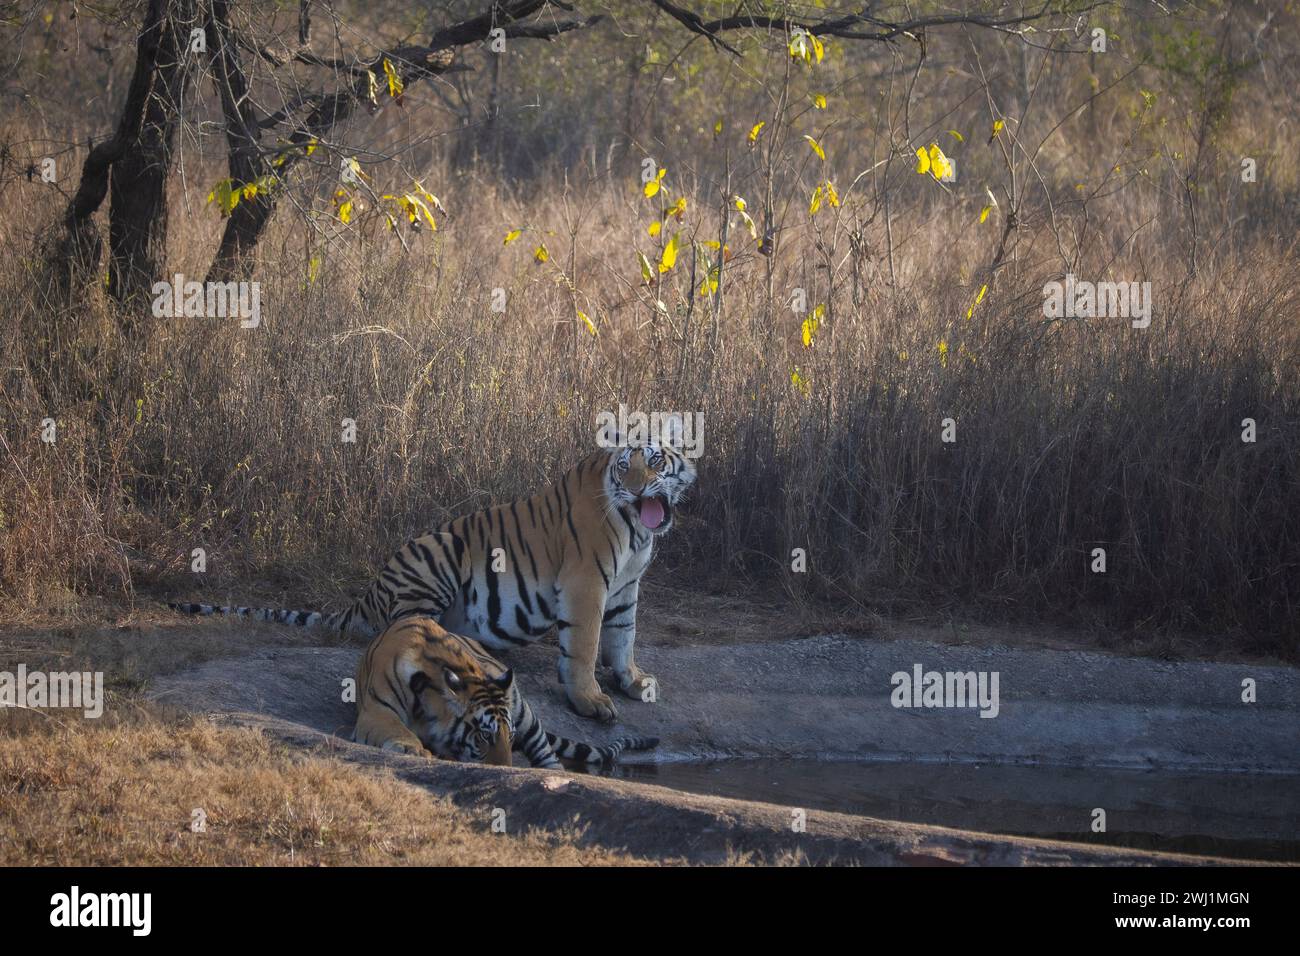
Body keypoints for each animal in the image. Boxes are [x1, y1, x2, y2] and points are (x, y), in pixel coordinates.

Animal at [172, 428, 697, 722]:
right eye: (624, 468)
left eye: (655, 461)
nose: (637, 491)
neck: (638, 531)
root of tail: (370, 591)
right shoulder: (586, 583)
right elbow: (586, 645)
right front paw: (590, 700)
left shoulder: (626, 586)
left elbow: (623, 635)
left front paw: (632, 680)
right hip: (438, 551)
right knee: (406, 629)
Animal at [354, 616, 658, 768]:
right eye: (483, 736)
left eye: (509, 737)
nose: (506, 769)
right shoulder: (377, 709)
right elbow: (396, 727)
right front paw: (412, 748)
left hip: (524, 712)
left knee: (547, 755)